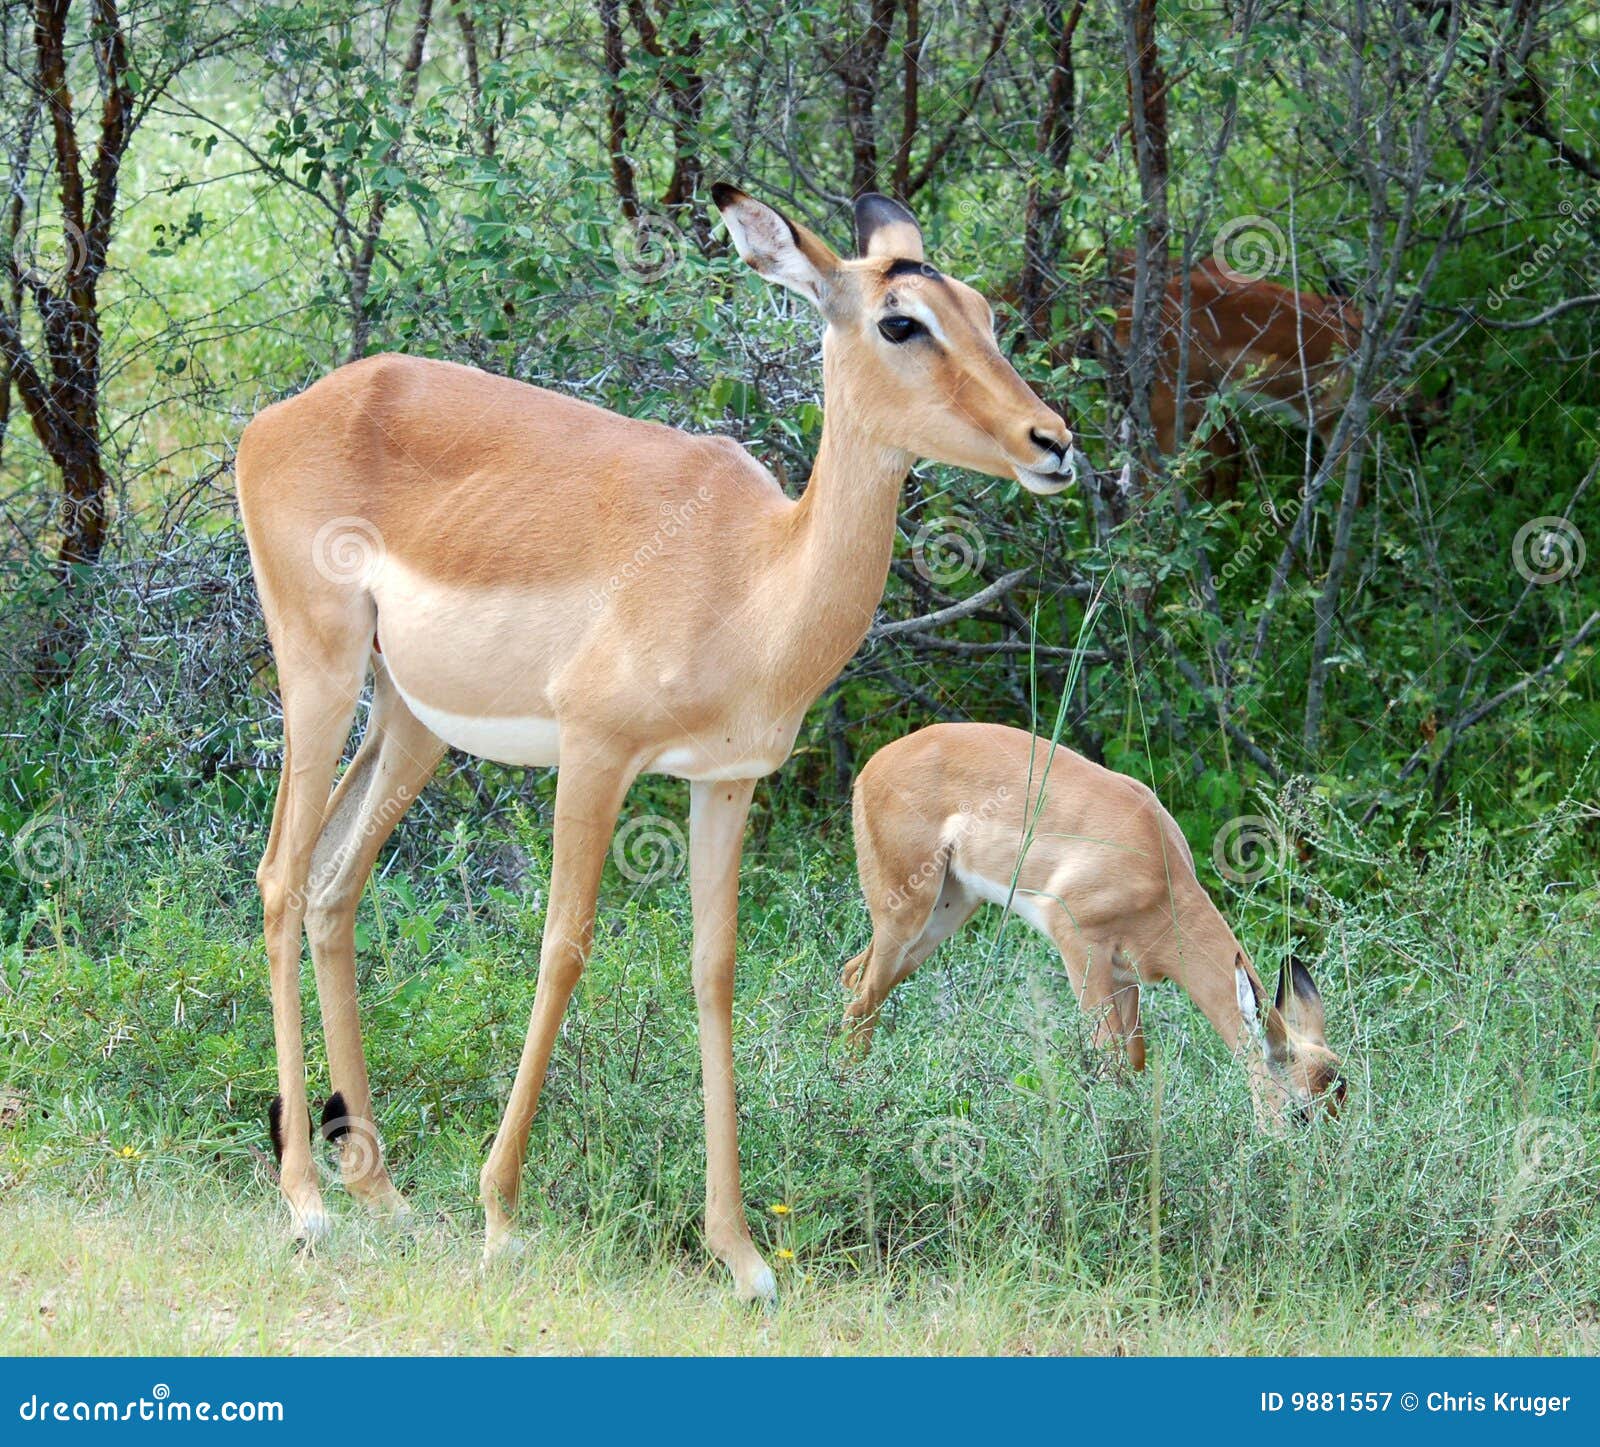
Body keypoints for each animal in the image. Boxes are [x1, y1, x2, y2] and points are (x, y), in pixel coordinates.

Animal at [234, 186, 1076, 1301]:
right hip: (319, 673)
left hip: (408, 719)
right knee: (281, 875)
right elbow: (562, 946)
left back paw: (383, 1193)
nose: (1053, 441)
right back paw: (307, 1203)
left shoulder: (726, 781)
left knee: (334, 887)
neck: (749, 577)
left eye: (983, 309)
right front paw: (501, 1217)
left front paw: (742, 1255)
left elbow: (714, 968)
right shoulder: (595, 753)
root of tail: (281, 416)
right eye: (901, 322)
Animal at [841, 723, 1344, 1122]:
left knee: (853, 976)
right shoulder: (1080, 948)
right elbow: (1108, 1056)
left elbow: (1134, 1058)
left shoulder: (1127, 974)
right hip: (904, 909)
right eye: (1301, 1111)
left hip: (945, 912)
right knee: (863, 998)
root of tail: (872, 765)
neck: (1158, 870)